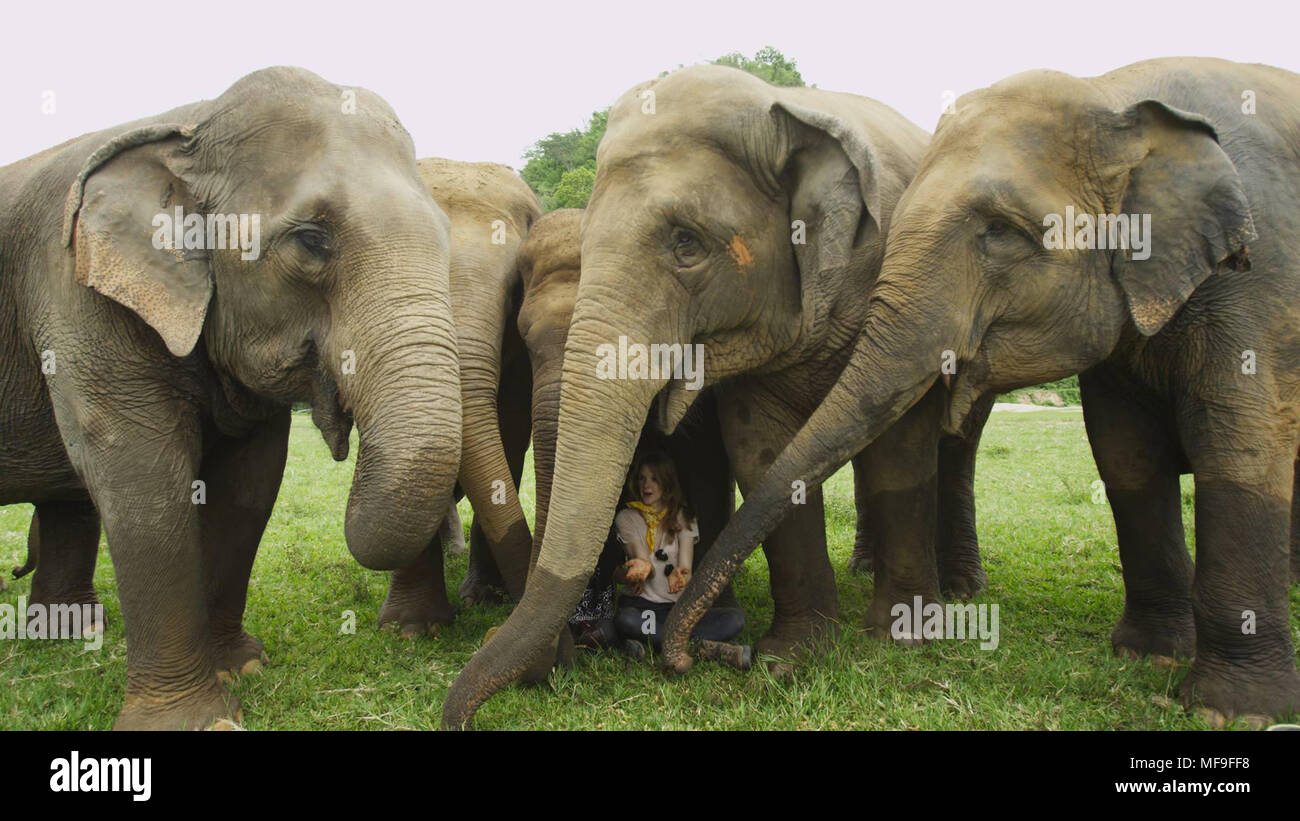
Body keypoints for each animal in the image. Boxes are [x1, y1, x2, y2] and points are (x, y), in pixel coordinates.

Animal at [0, 67, 462, 729]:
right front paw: (199, 719)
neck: (188, 123)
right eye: (312, 239)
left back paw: (68, 635)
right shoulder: (75, 292)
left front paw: (241, 669)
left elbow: (249, 482)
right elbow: (141, 476)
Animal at [444, 64, 991, 727]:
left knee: (956, 443)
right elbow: (760, 452)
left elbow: (900, 447)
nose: (555, 663)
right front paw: (794, 653)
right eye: (519, 338)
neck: (783, 107)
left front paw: (890, 640)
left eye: (686, 243)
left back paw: (958, 589)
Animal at [663, 57, 1300, 724]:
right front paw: (1150, 657)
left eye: (1001, 230)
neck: (1115, 96)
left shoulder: (1267, 277)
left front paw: (1231, 712)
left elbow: (1239, 445)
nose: (703, 656)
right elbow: (1125, 452)